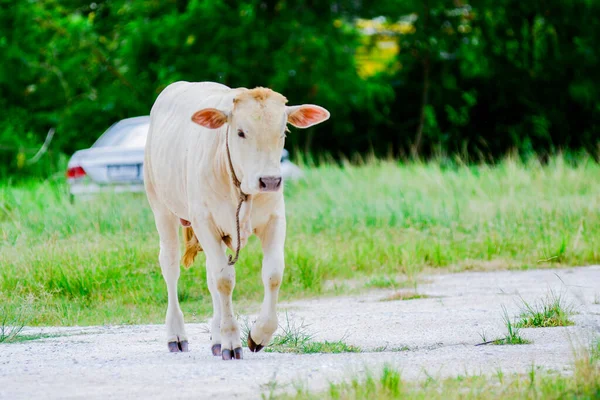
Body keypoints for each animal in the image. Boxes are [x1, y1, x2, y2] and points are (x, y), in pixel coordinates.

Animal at [146, 81, 332, 360]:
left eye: (283, 131)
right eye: (241, 132)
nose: (270, 181)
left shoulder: (275, 219)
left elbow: (272, 274)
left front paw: (259, 334)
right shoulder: (204, 222)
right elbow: (224, 281)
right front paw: (231, 341)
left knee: (211, 275)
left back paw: (215, 336)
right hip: (161, 207)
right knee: (170, 266)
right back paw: (176, 335)